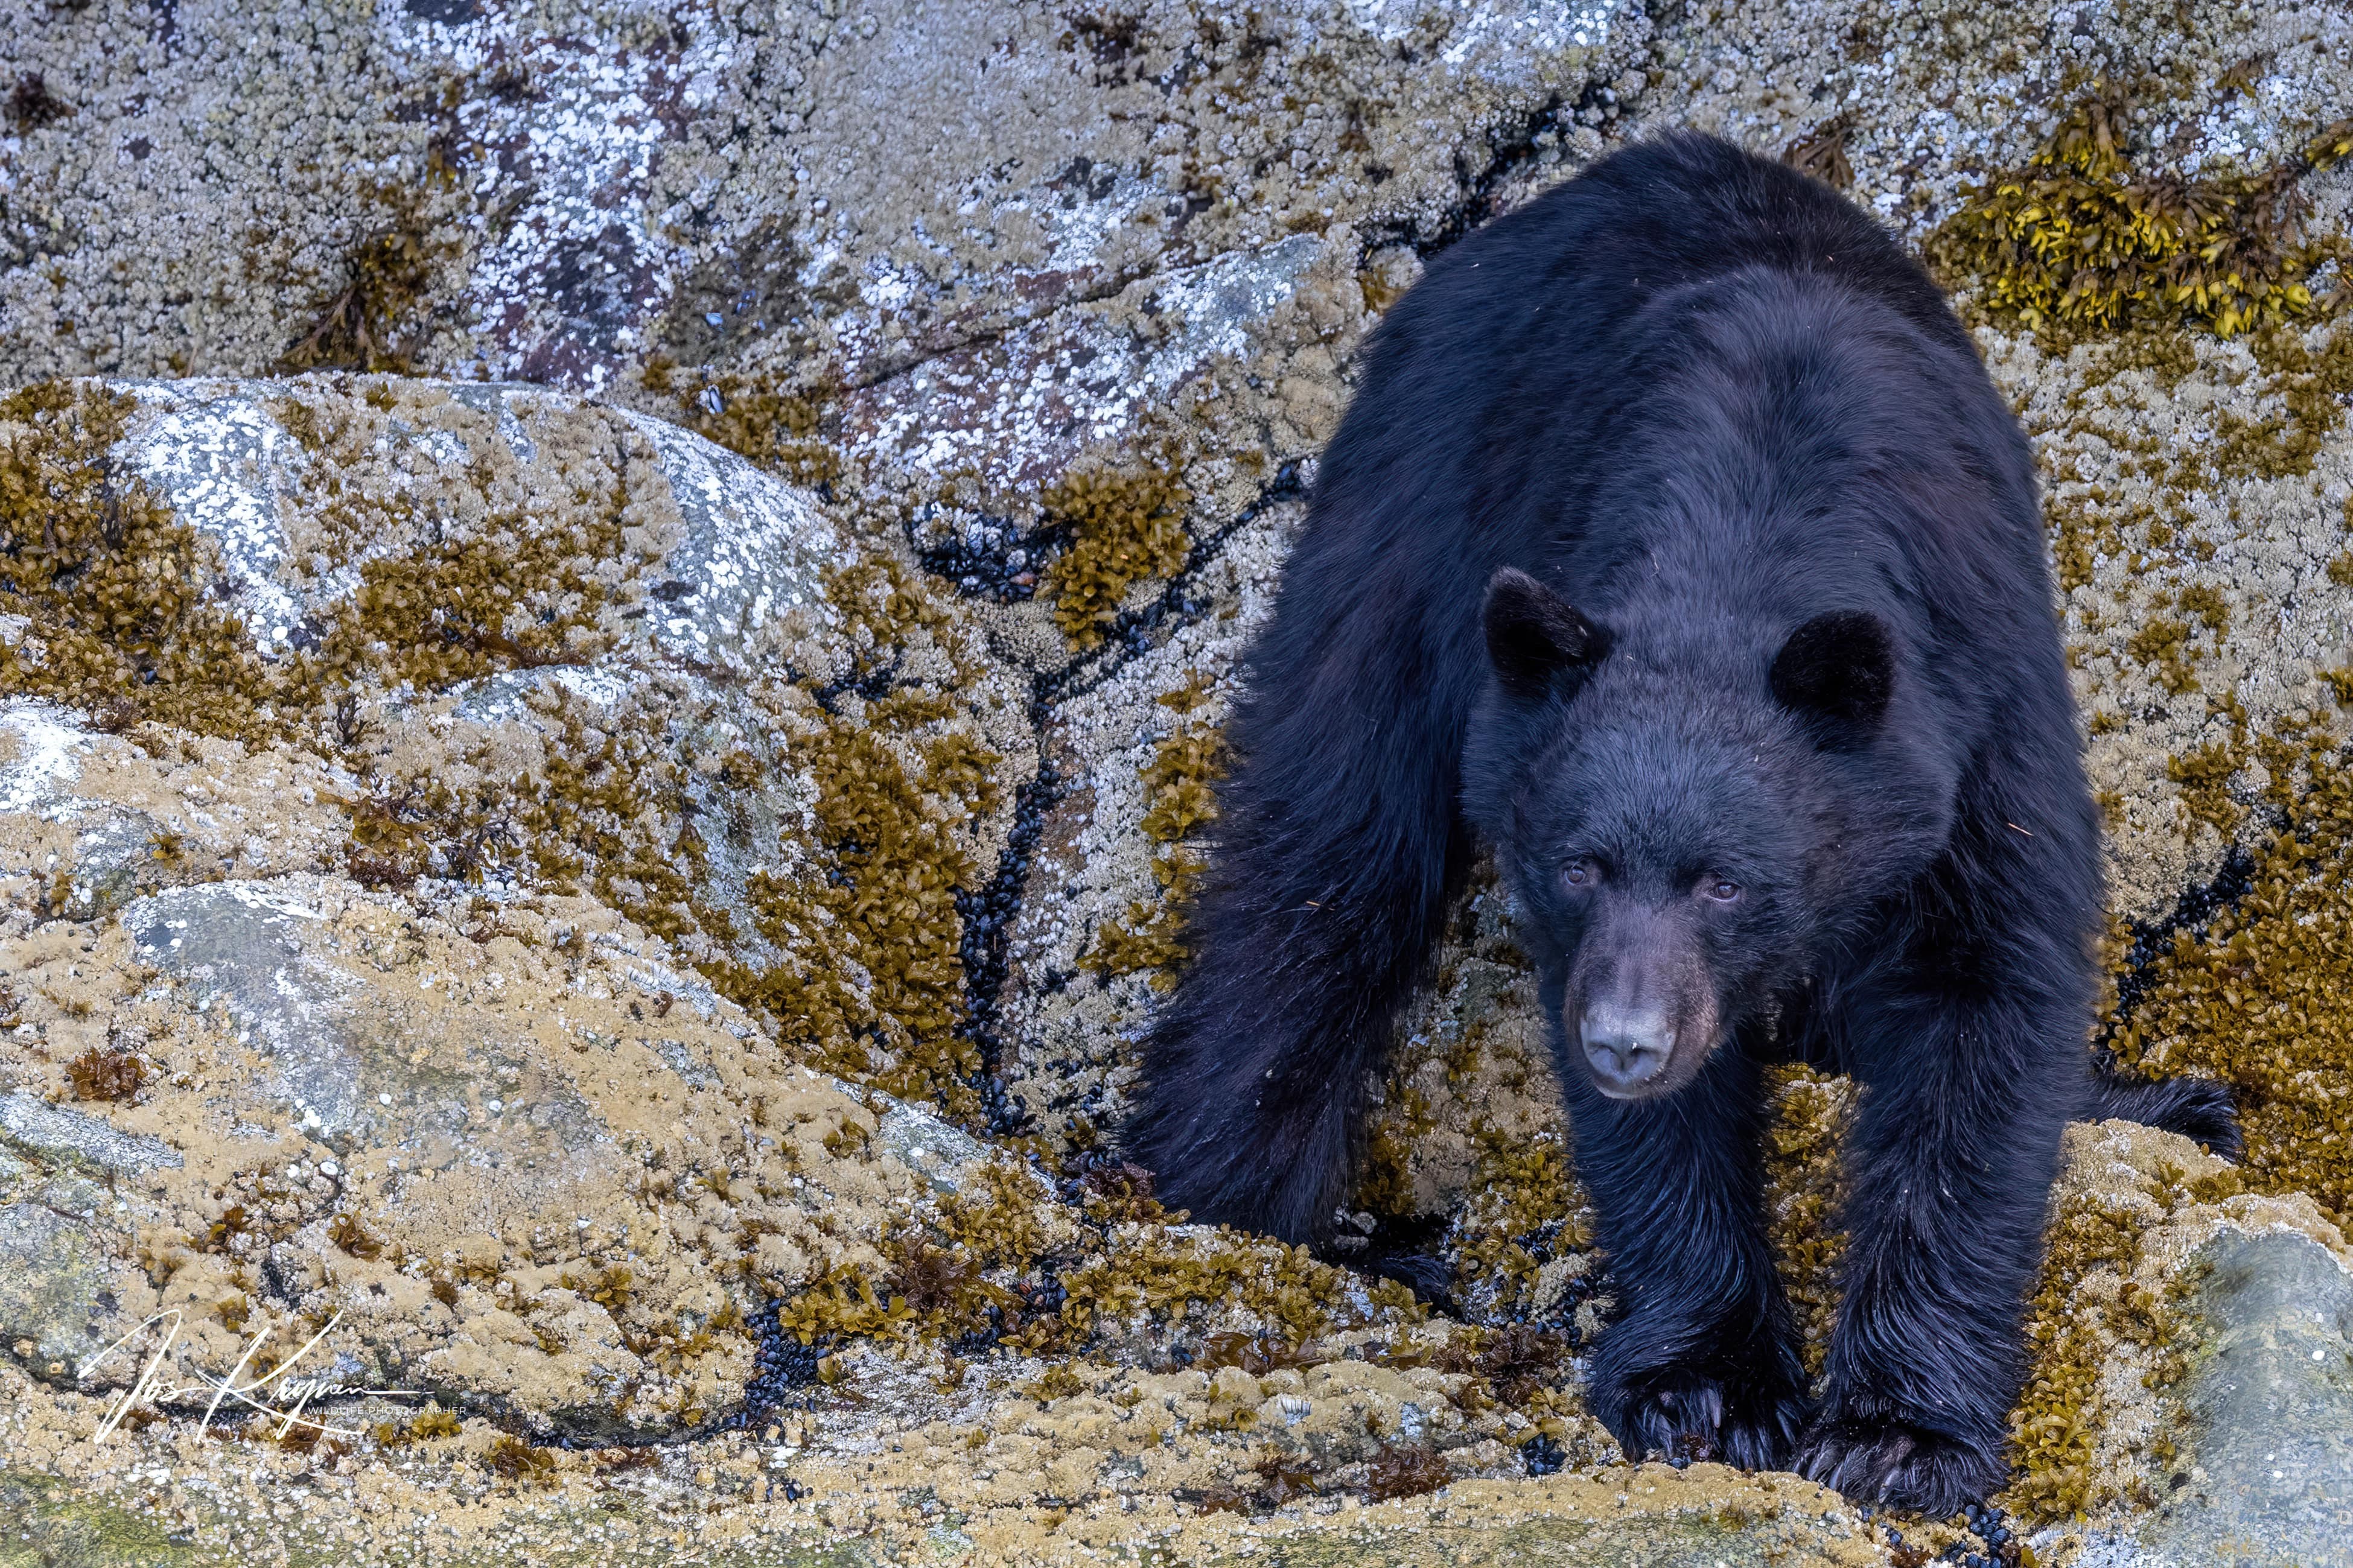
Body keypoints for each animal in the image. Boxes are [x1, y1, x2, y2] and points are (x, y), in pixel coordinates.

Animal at [1123, 130, 2238, 1515]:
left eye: (1724, 878)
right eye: (1581, 863)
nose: (1625, 1040)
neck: (1750, 531)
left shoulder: (1980, 716)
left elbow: (1980, 1024)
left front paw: (1894, 1432)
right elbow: (1660, 1134)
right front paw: (1705, 1381)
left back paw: (2167, 1105)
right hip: (1414, 517)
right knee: (1324, 861)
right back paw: (1227, 1199)